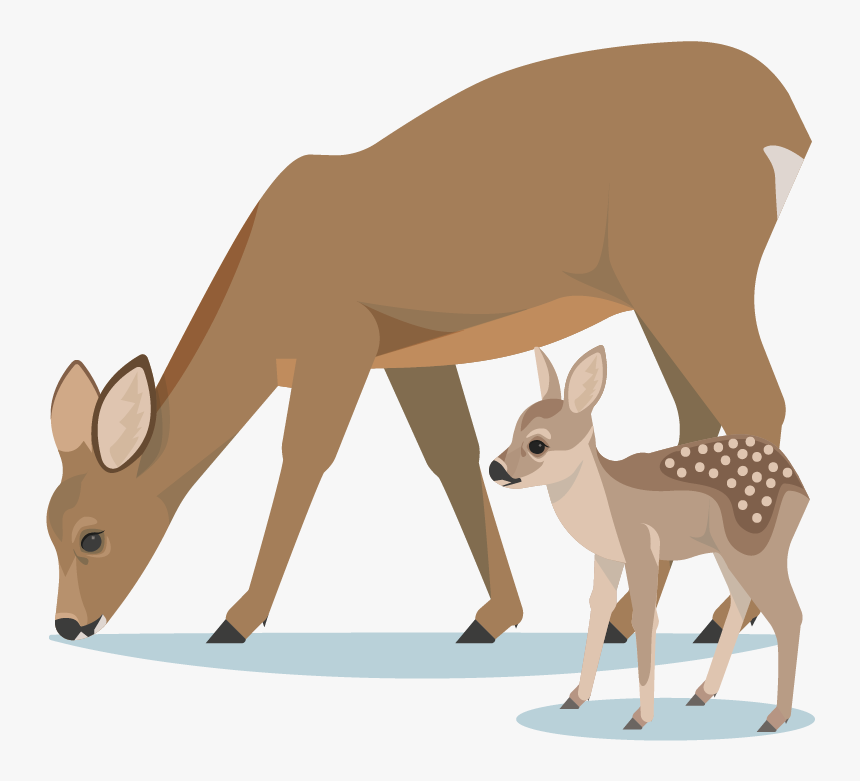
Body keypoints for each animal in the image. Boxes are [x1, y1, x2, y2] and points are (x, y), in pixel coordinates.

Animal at [46, 42, 810, 652]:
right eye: (47, 524)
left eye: (91, 535)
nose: (66, 624)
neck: (268, 300)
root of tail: (790, 126)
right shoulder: (411, 354)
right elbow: (452, 458)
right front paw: (493, 616)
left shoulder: (340, 341)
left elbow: (305, 459)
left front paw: (236, 617)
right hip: (664, 295)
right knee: (701, 410)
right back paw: (632, 619)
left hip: (692, 278)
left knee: (759, 400)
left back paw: (726, 616)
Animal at [490, 346, 807, 732]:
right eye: (513, 428)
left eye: (537, 444)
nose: (495, 468)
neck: (606, 502)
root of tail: (801, 487)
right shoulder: (607, 555)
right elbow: (598, 609)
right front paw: (575, 698)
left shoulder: (641, 546)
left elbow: (645, 617)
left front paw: (639, 718)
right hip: (727, 552)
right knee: (742, 600)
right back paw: (701, 694)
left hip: (757, 547)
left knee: (789, 614)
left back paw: (774, 718)